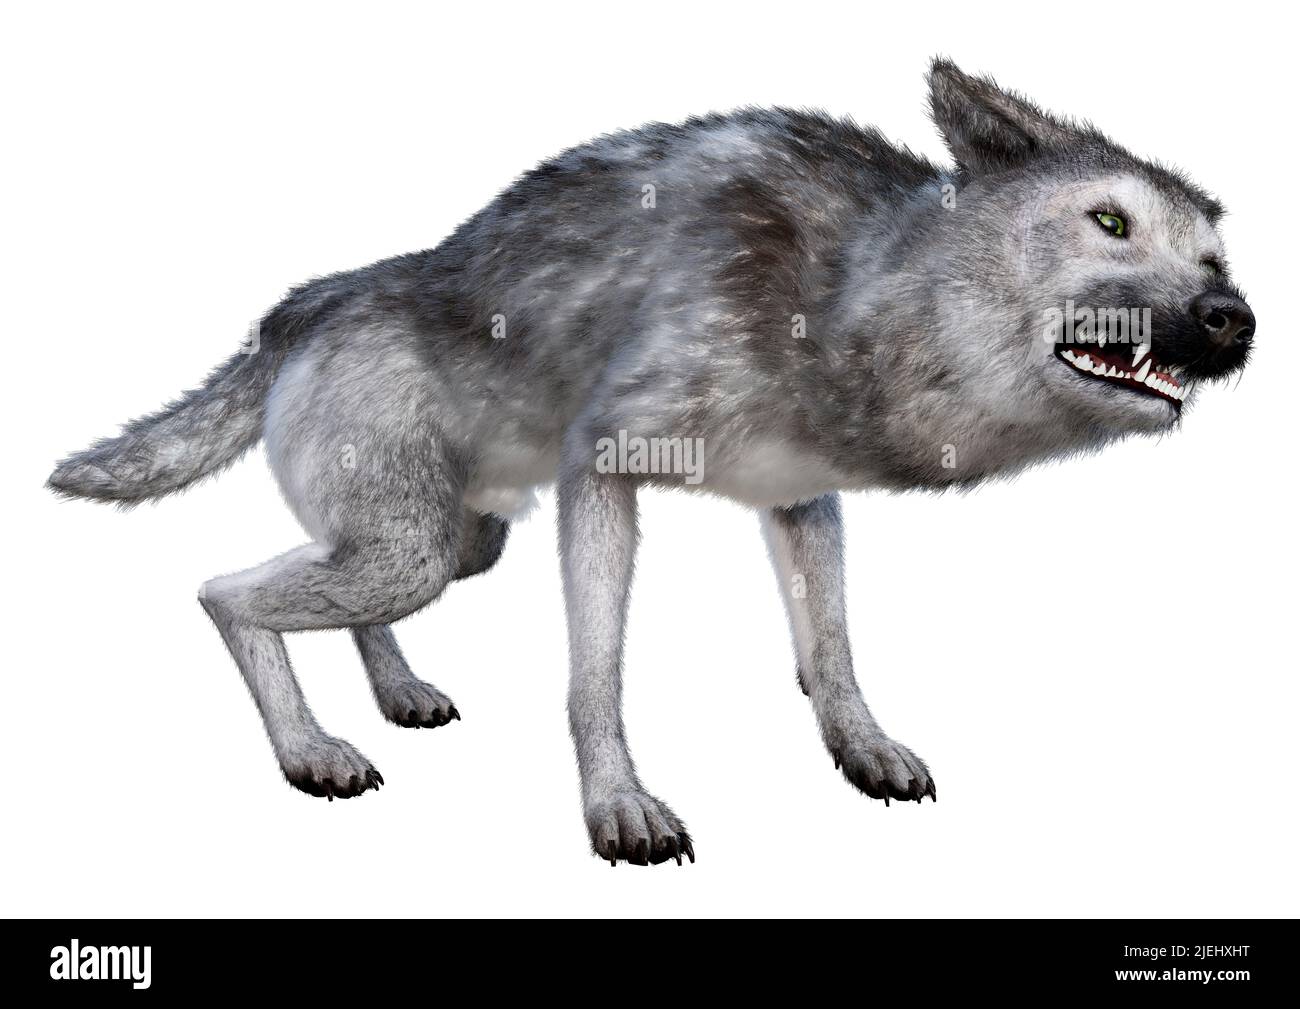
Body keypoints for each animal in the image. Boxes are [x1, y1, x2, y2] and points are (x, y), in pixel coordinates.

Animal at [48, 60, 1253, 865]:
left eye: (1212, 257)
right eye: (1108, 222)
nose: (1233, 319)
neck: (846, 293)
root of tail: (303, 302)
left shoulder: (801, 500)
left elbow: (833, 654)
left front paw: (862, 750)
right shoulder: (605, 472)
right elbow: (597, 678)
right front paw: (617, 809)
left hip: (455, 546)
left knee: (332, 597)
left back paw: (397, 696)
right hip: (411, 552)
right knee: (222, 591)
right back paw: (312, 751)